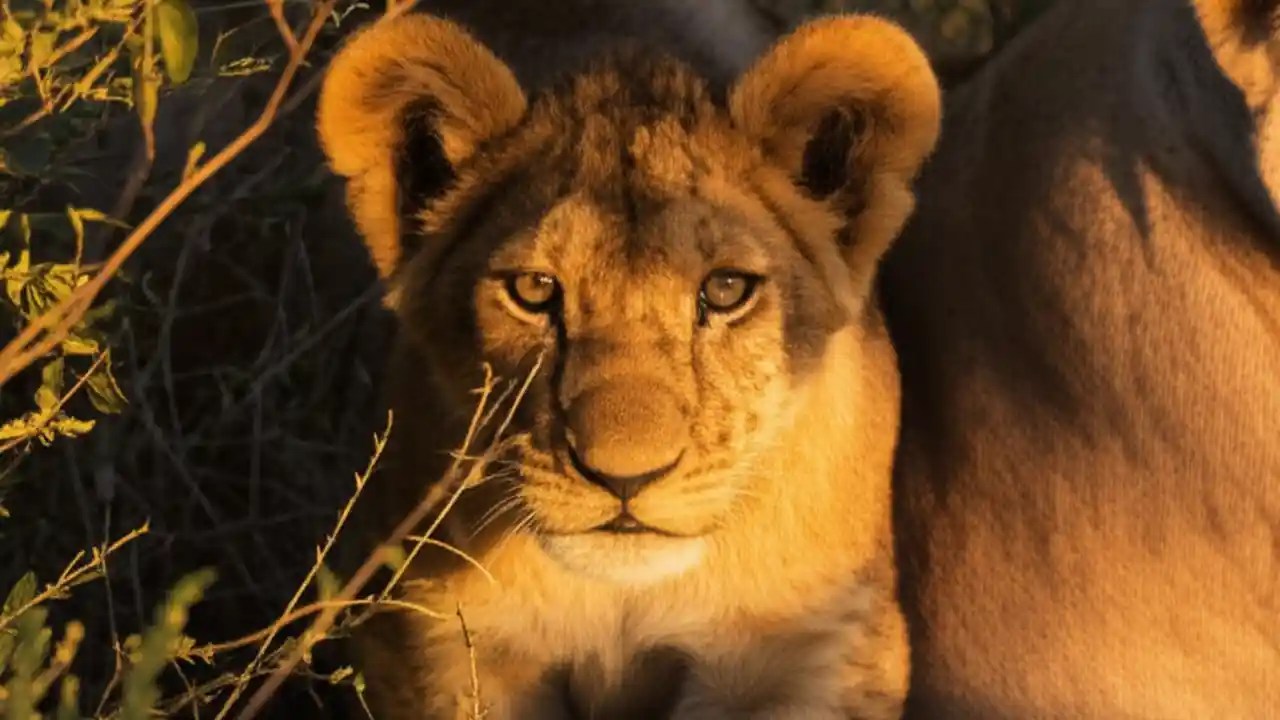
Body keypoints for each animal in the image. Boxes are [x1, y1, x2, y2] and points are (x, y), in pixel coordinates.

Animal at [315, 5, 940, 719]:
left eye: (727, 289)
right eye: (534, 290)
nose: (625, 477)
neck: (622, 595)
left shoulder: (815, 645)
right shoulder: (438, 640)